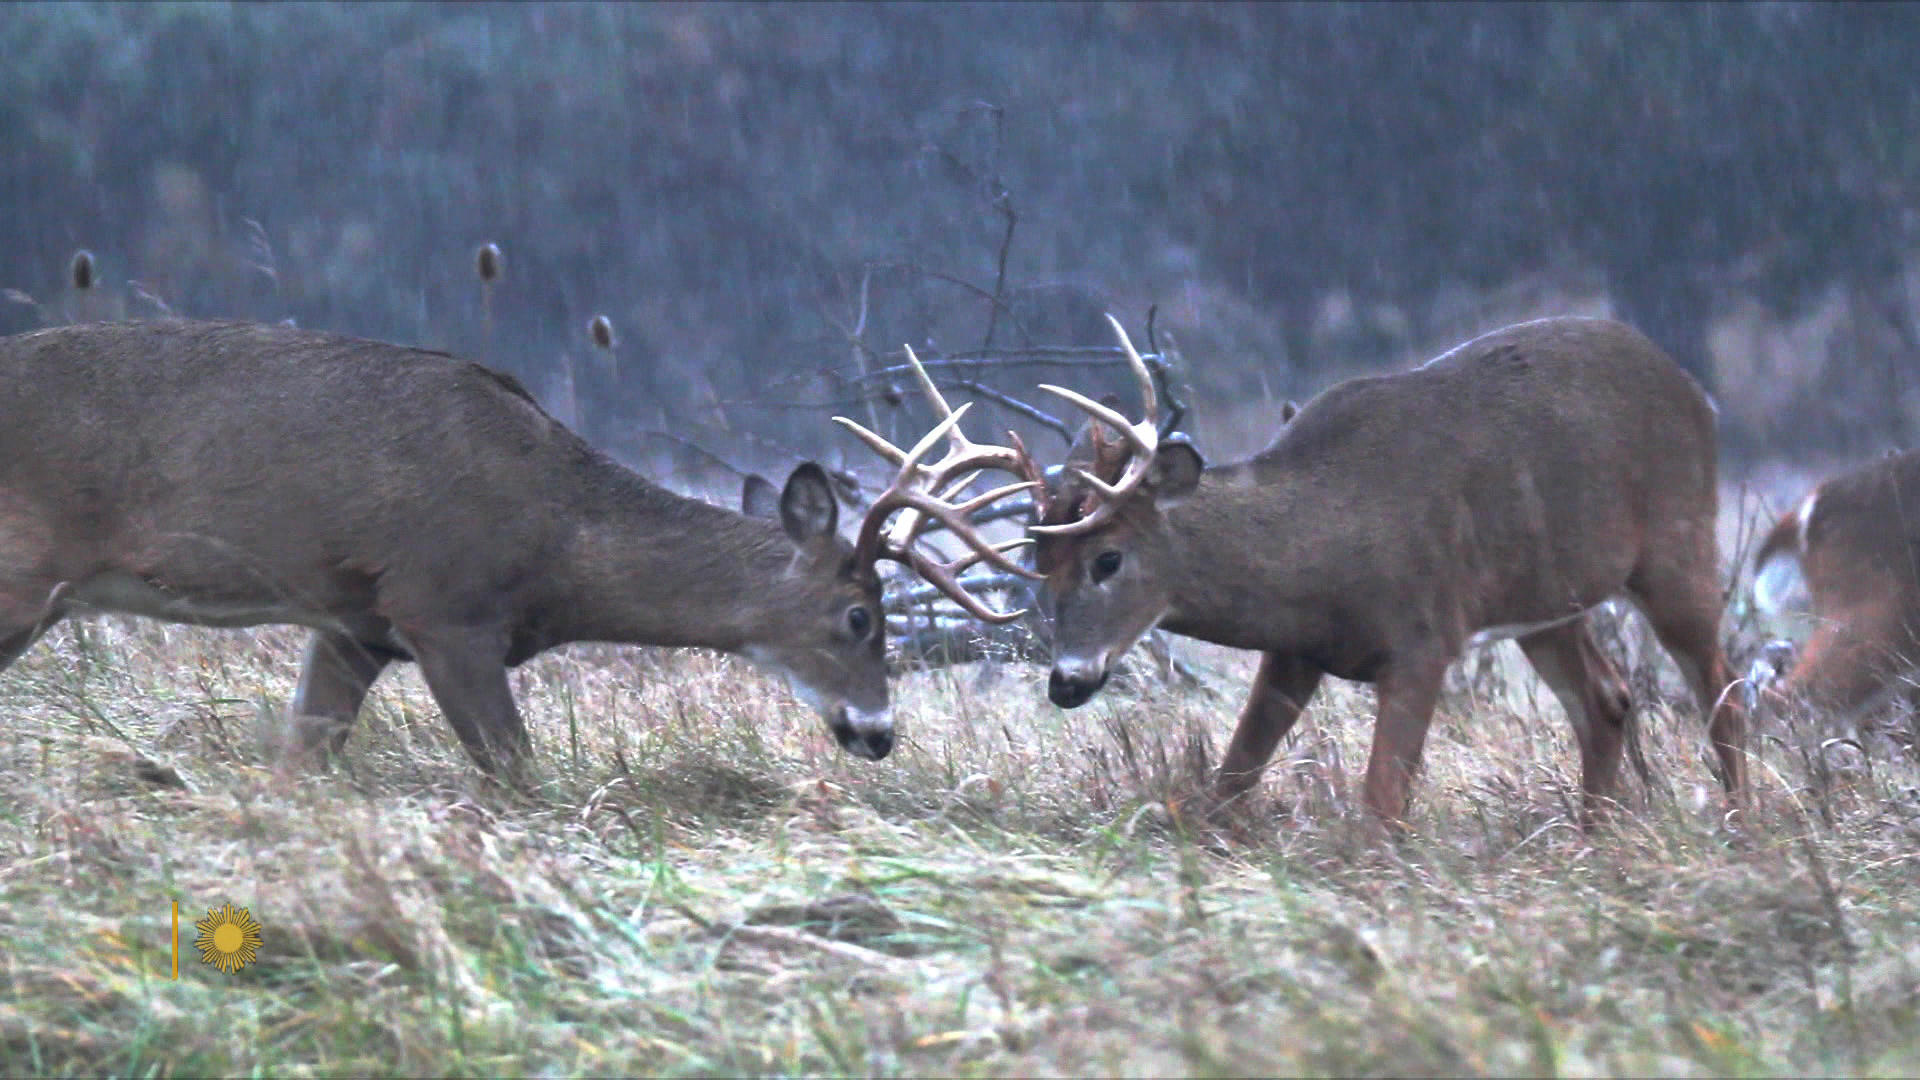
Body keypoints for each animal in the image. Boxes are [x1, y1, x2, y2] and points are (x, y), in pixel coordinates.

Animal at [0, 319, 1035, 783]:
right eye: (859, 615)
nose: (880, 733)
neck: (558, 537)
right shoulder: (444, 605)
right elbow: (516, 770)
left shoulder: (355, 623)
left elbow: (306, 753)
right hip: (21, 567)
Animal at [1007, 313, 1749, 826]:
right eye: (1038, 564)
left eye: (1108, 558)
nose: (1065, 683)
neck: (1327, 542)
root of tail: (1699, 394)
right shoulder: (1295, 650)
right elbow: (1231, 779)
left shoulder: (1425, 635)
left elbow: (1381, 806)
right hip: (1544, 599)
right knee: (1608, 699)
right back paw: (1593, 838)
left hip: (1678, 545)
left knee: (1724, 688)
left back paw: (1741, 822)